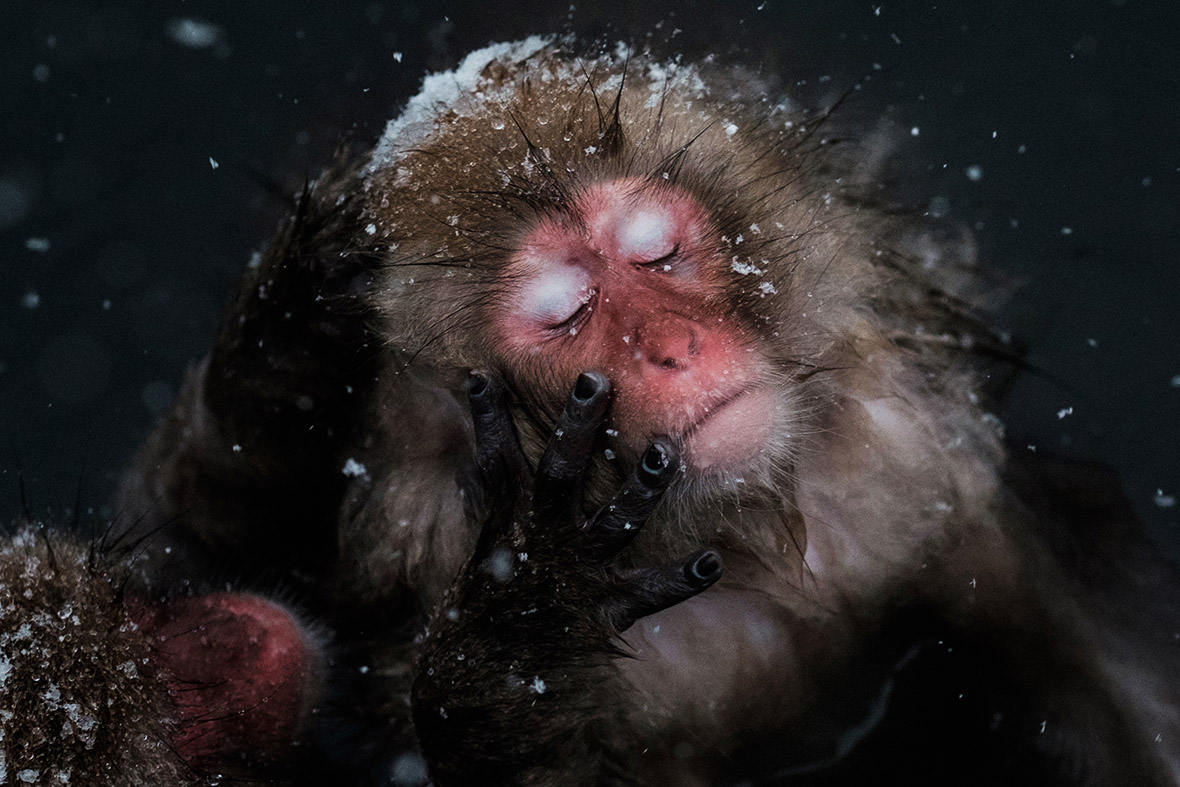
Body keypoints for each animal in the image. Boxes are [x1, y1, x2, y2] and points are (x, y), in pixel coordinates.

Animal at [8, 36, 1177, 786]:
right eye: (566, 313)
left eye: (657, 251)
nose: (673, 346)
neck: (751, 543)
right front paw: (526, 616)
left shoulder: (919, 477)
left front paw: (303, 319)